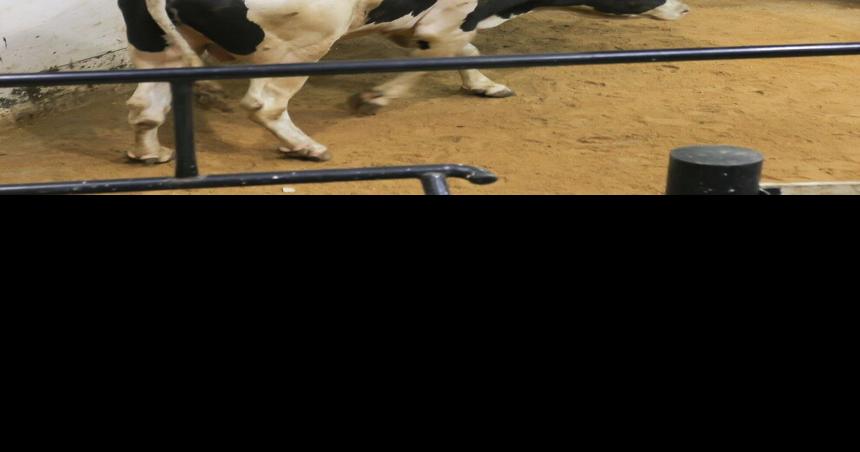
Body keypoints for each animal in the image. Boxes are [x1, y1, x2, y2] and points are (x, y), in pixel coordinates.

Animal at [118, 0, 690, 164]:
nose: (684, 6)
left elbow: (462, 54)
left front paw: (484, 85)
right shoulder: (446, 21)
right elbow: (437, 55)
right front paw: (373, 96)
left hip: (153, 45)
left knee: (144, 106)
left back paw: (149, 154)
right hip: (297, 47)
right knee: (264, 105)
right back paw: (306, 147)